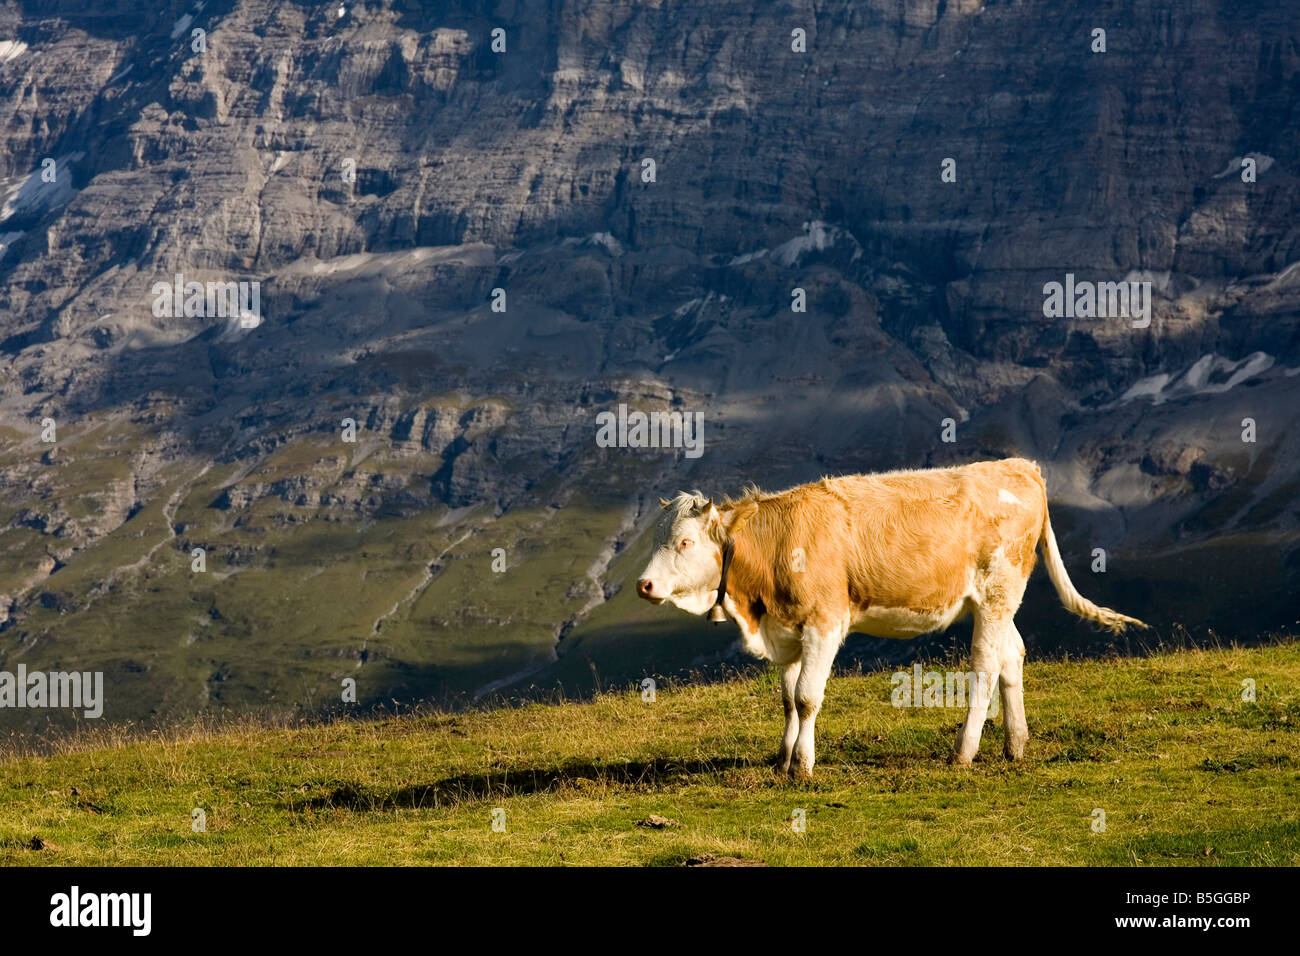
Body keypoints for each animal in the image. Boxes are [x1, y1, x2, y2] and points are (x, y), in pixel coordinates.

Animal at [634, 458, 1147, 779]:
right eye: (656, 539)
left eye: (685, 541)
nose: (644, 585)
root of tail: (1019, 465)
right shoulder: (788, 629)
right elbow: (786, 700)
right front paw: (781, 760)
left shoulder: (825, 622)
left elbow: (806, 698)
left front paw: (802, 766)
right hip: (993, 601)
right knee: (1012, 657)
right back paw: (1015, 745)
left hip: (1000, 588)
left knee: (984, 666)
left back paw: (963, 752)